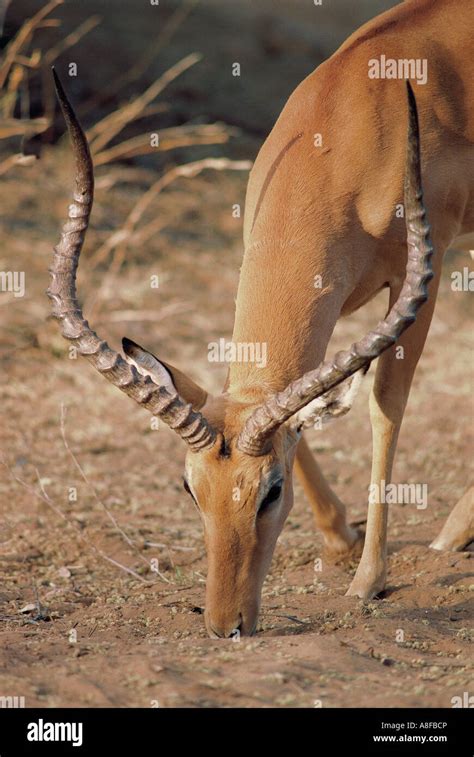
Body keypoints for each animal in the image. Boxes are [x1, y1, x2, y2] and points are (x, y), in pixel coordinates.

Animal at [48, 0, 473, 638]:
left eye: (271, 492)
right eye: (190, 487)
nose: (226, 625)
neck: (346, 132)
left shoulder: (425, 266)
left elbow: (384, 405)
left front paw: (367, 578)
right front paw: (340, 538)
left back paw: (449, 536)